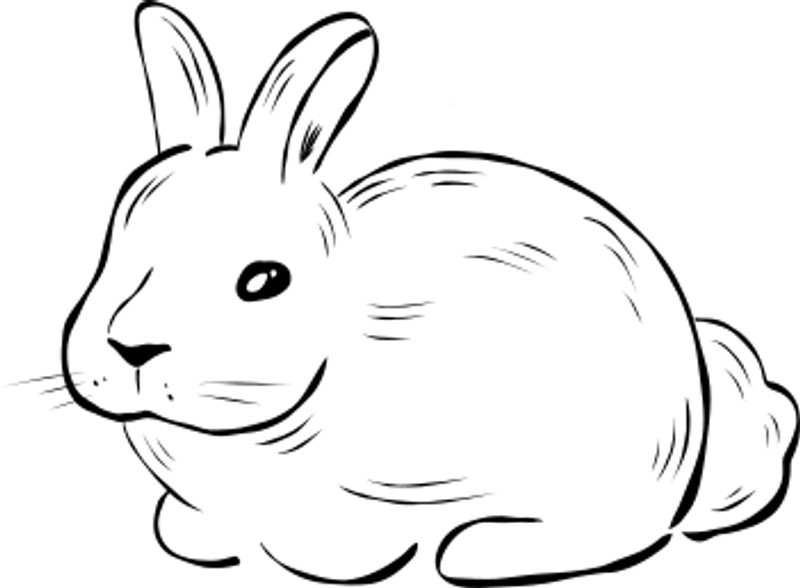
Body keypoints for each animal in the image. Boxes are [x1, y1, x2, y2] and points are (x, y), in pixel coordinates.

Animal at [61, 2, 798, 585]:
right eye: (114, 242)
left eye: (263, 280)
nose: (132, 350)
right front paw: (196, 537)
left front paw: (333, 560)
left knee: (614, 533)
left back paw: (480, 551)